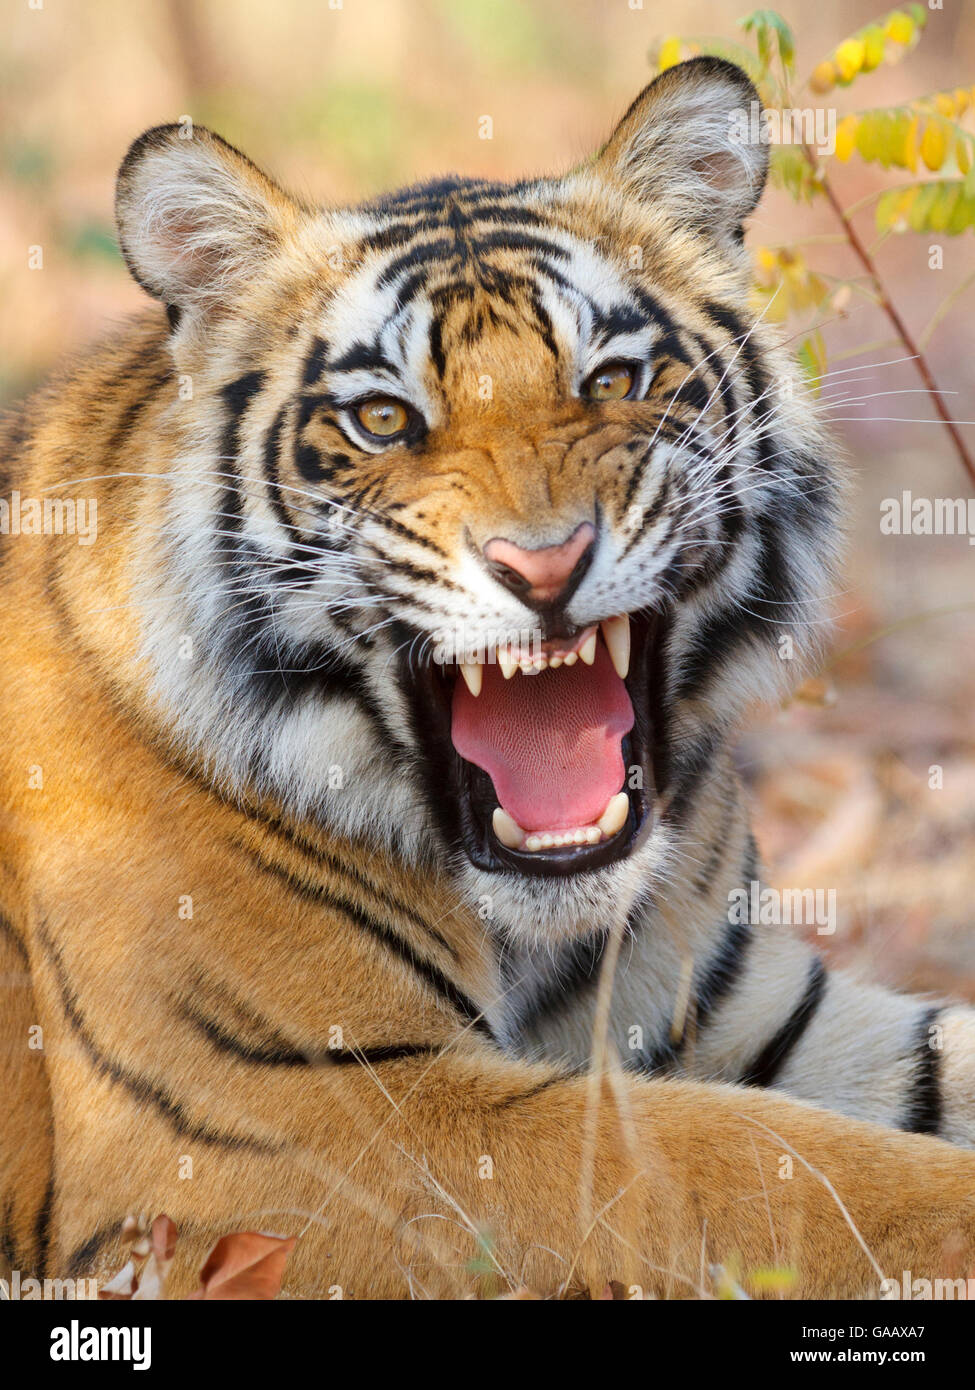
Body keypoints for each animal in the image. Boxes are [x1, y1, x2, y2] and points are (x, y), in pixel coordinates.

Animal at [2, 56, 975, 1301]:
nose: (545, 564)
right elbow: (758, 1161)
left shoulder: (750, 1010)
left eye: (615, 377)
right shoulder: (295, 1114)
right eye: (381, 418)